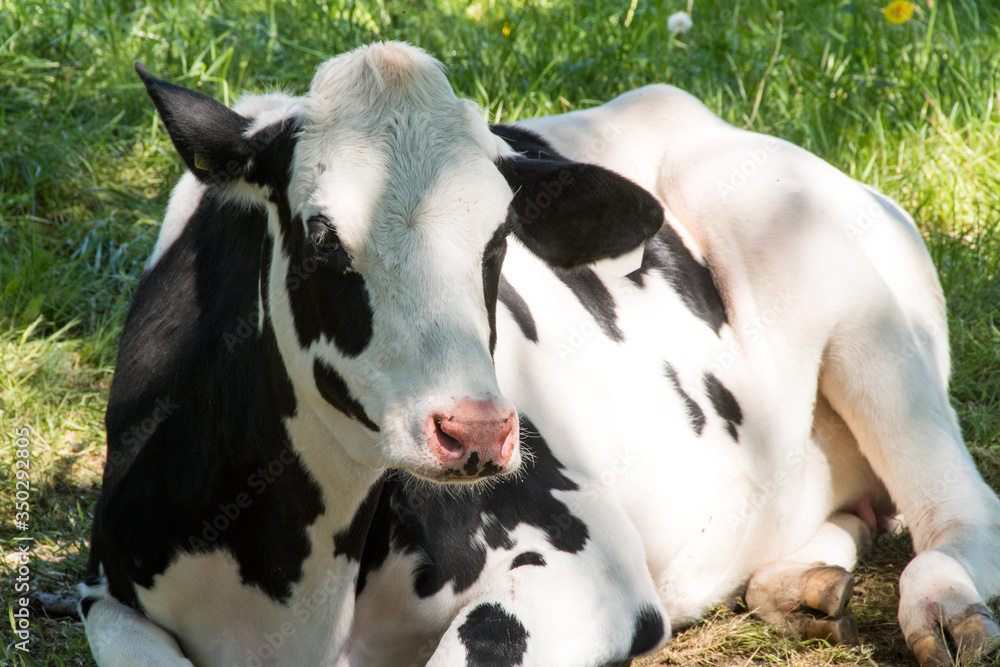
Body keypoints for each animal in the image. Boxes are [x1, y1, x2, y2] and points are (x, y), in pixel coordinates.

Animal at [79, 42, 1000, 667]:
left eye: (497, 241)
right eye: (322, 235)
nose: (475, 430)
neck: (296, 592)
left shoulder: (586, 556)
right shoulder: (104, 590)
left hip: (832, 273)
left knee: (959, 500)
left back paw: (944, 606)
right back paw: (802, 582)